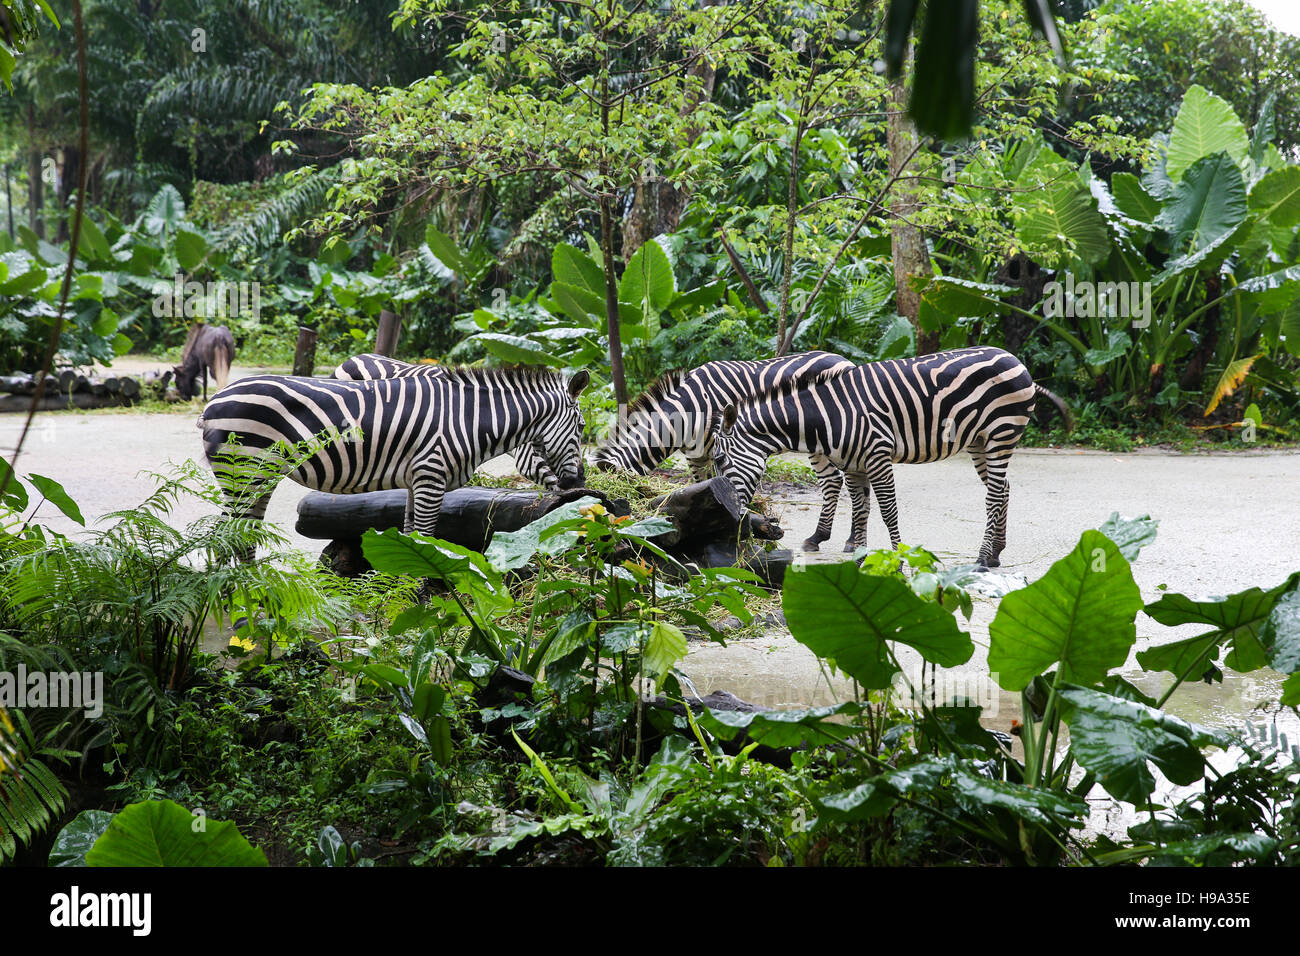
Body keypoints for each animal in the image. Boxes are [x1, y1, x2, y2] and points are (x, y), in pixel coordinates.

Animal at [198, 367, 590, 543]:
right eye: (582, 427)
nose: (579, 482)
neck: (468, 419)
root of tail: (215, 398)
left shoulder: (418, 481)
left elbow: (410, 532)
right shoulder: (431, 476)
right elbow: (427, 537)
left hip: (258, 477)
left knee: (241, 534)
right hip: (244, 472)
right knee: (228, 535)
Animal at [592, 352, 861, 551]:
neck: (685, 414)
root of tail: (843, 359)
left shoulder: (720, 448)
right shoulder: (695, 457)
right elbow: (702, 489)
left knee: (842, 479)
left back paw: (842, 539)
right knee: (834, 480)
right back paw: (822, 538)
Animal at [708, 347, 1072, 569]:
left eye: (721, 462)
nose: (733, 516)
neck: (828, 415)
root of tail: (1015, 359)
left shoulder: (878, 457)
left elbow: (887, 510)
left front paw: (897, 558)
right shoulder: (854, 465)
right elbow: (860, 509)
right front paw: (859, 556)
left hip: (1001, 433)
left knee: (995, 494)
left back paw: (983, 557)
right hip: (980, 441)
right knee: (1003, 489)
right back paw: (996, 553)